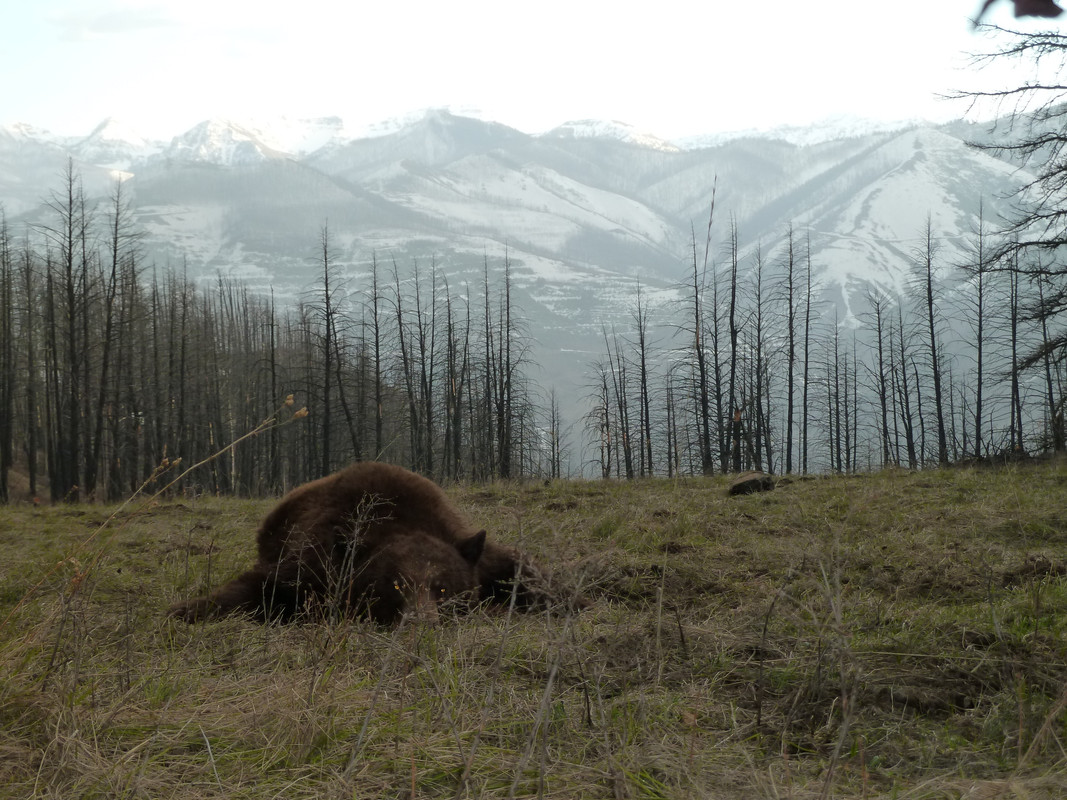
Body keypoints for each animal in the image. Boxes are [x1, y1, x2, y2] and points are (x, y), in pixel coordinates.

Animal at [169, 462, 552, 625]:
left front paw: (553, 597)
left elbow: (516, 565)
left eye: (442, 588)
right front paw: (187, 610)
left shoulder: (468, 545)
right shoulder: (308, 566)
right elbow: (258, 586)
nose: (421, 622)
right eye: (395, 584)